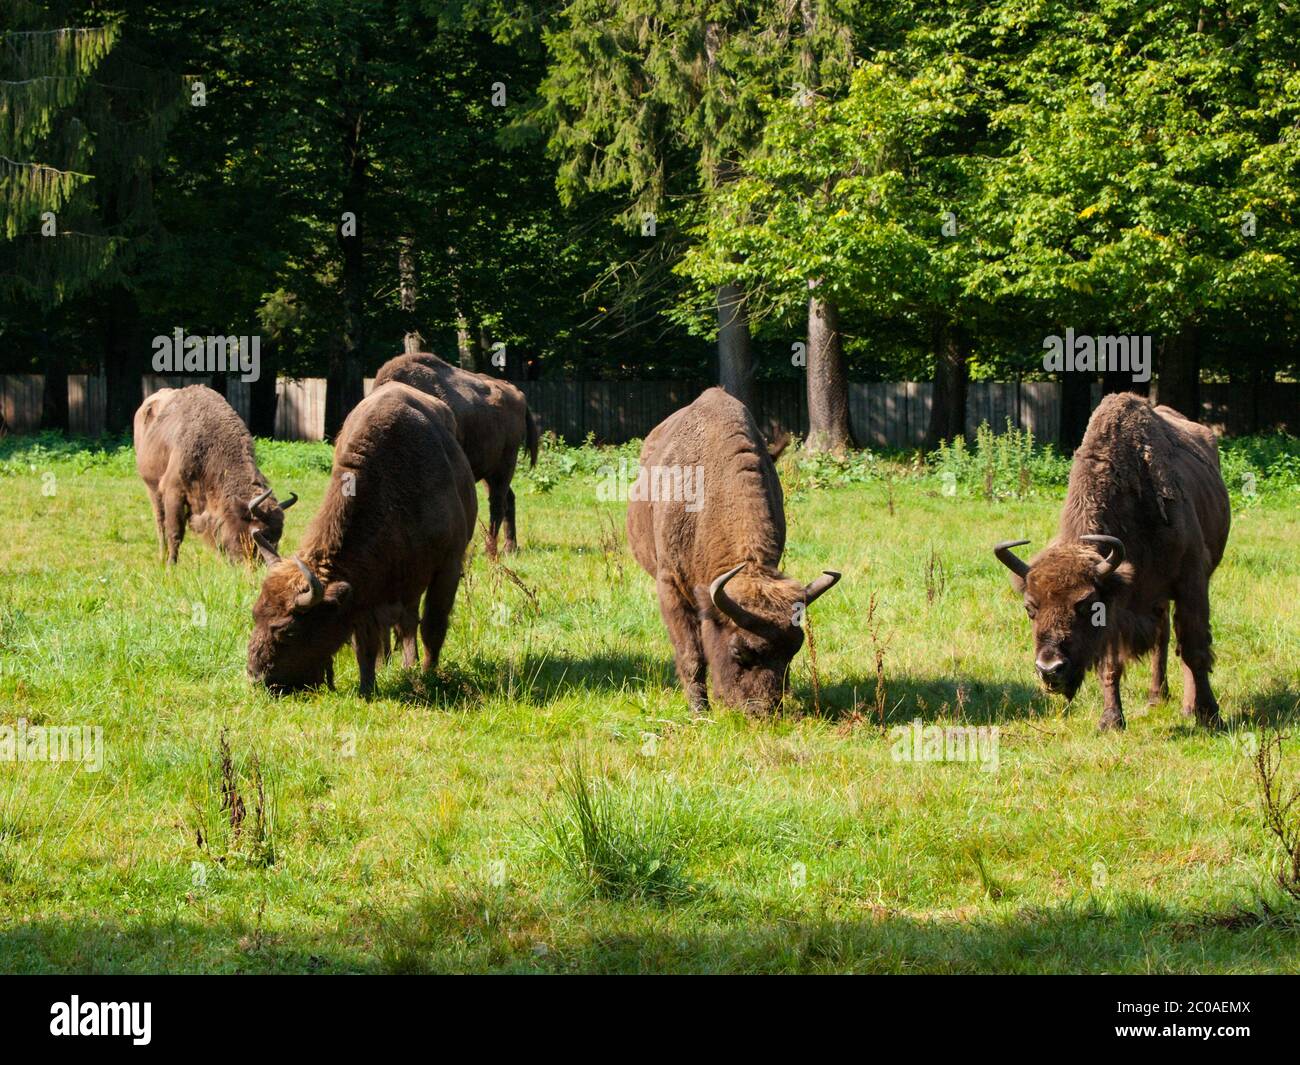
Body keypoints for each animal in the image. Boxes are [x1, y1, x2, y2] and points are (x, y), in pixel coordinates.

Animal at [133, 385, 296, 564]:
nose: (259, 563)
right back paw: (163, 558)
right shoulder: (174, 491)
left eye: (278, 536)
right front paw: (171, 565)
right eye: (260, 532)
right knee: (160, 522)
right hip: (152, 488)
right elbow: (175, 532)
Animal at [247, 382, 476, 696]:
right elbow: (365, 642)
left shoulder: (447, 567)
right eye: (255, 613)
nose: (257, 677)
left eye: (289, 630)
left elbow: (432, 626)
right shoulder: (366, 592)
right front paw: (368, 686)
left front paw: (428, 676)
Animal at [372, 351, 540, 556]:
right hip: (490, 471)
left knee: (497, 504)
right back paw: (510, 548)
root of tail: (518, 393)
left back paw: (491, 549)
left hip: (505, 465)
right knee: (509, 499)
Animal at [627, 387, 840, 715]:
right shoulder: (670, 584)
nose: (762, 711)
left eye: (794, 649)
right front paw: (699, 711)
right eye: (740, 652)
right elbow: (691, 654)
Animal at [994, 393, 1231, 730]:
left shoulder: (1191, 583)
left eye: (1087, 606)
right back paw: (1156, 697)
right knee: (1162, 638)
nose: (1049, 669)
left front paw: (1211, 715)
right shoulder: (1120, 606)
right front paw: (1111, 720)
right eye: (1030, 608)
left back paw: (1188, 707)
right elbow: (1111, 664)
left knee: (1179, 643)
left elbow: (1195, 650)